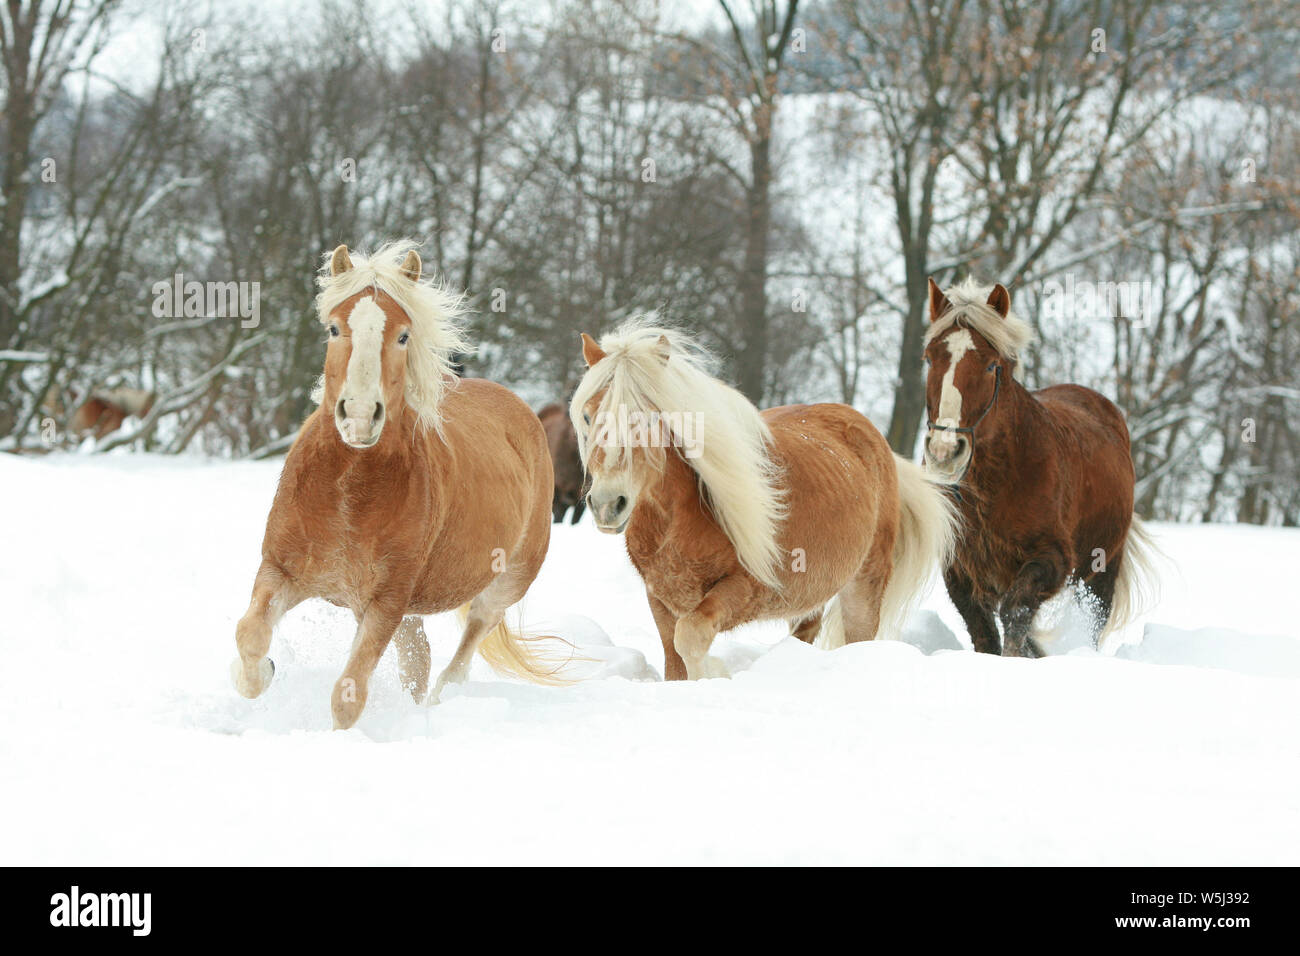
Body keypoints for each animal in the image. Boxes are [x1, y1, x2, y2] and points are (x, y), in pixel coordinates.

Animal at [230, 241, 566, 729]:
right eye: (335, 327)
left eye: (404, 335)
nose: (359, 415)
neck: (348, 489)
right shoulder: (280, 570)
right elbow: (251, 635)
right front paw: (260, 674)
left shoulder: (386, 603)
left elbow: (348, 695)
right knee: (419, 661)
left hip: (509, 578)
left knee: (463, 650)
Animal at [570, 320, 958, 680]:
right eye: (588, 415)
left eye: (650, 418)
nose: (607, 503)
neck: (675, 520)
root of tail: (873, 437)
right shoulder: (660, 600)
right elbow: (674, 658)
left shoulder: (744, 590)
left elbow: (690, 638)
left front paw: (712, 676)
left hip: (864, 584)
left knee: (860, 635)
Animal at [921, 277, 1158, 657]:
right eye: (930, 358)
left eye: (991, 366)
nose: (945, 451)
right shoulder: (960, 571)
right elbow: (984, 632)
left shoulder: (1052, 558)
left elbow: (1015, 612)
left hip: (1104, 568)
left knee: (1095, 620)